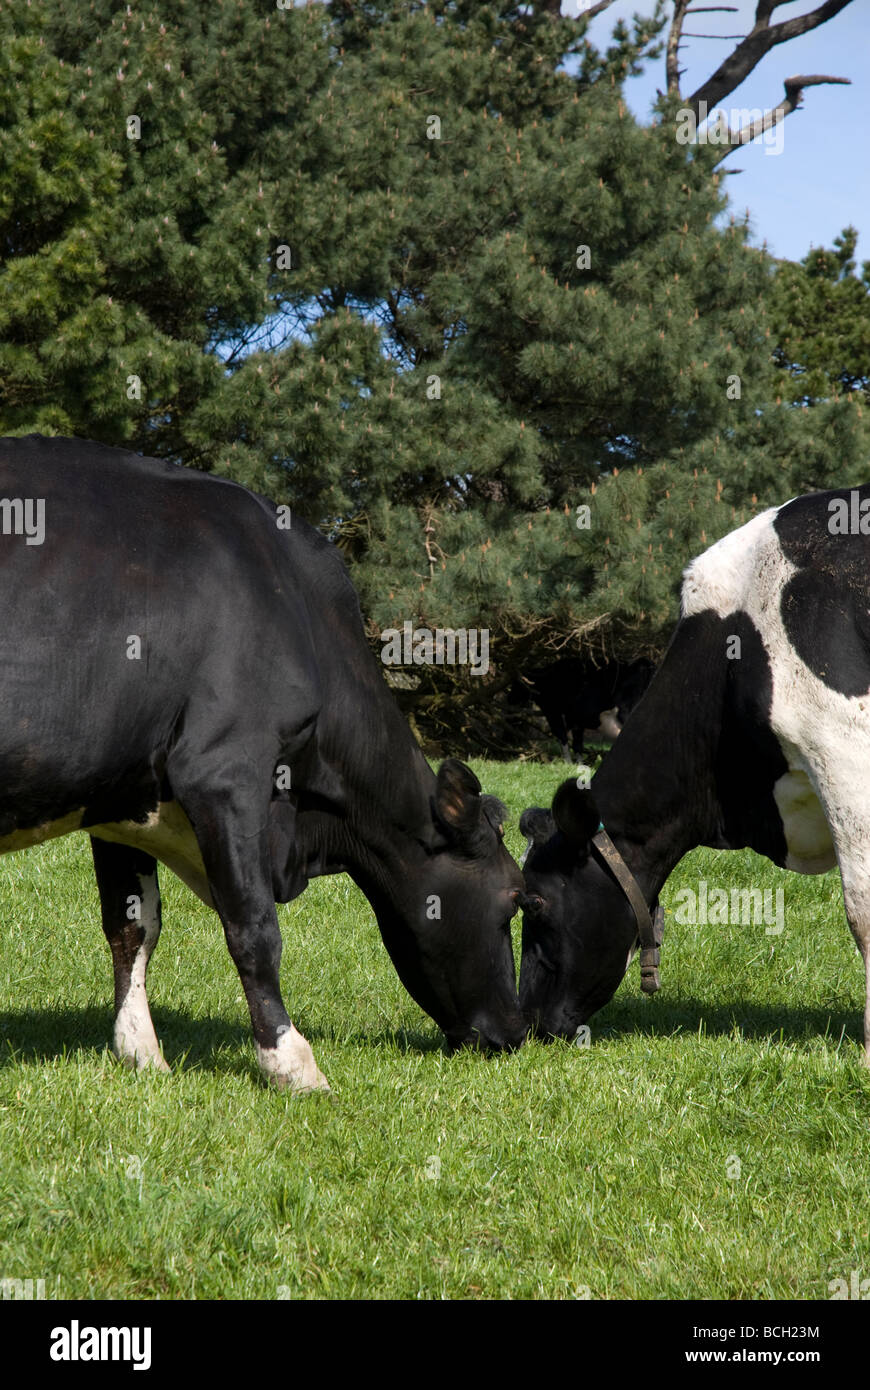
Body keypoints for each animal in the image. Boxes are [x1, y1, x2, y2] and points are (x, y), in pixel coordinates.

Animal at [0, 435, 529, 1092]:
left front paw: (140, 1052)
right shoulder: (226, 769)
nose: (517, 1031)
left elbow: (133, 925)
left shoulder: (120, 795)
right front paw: (291, 1061)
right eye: (515, 897)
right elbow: (254, 928)